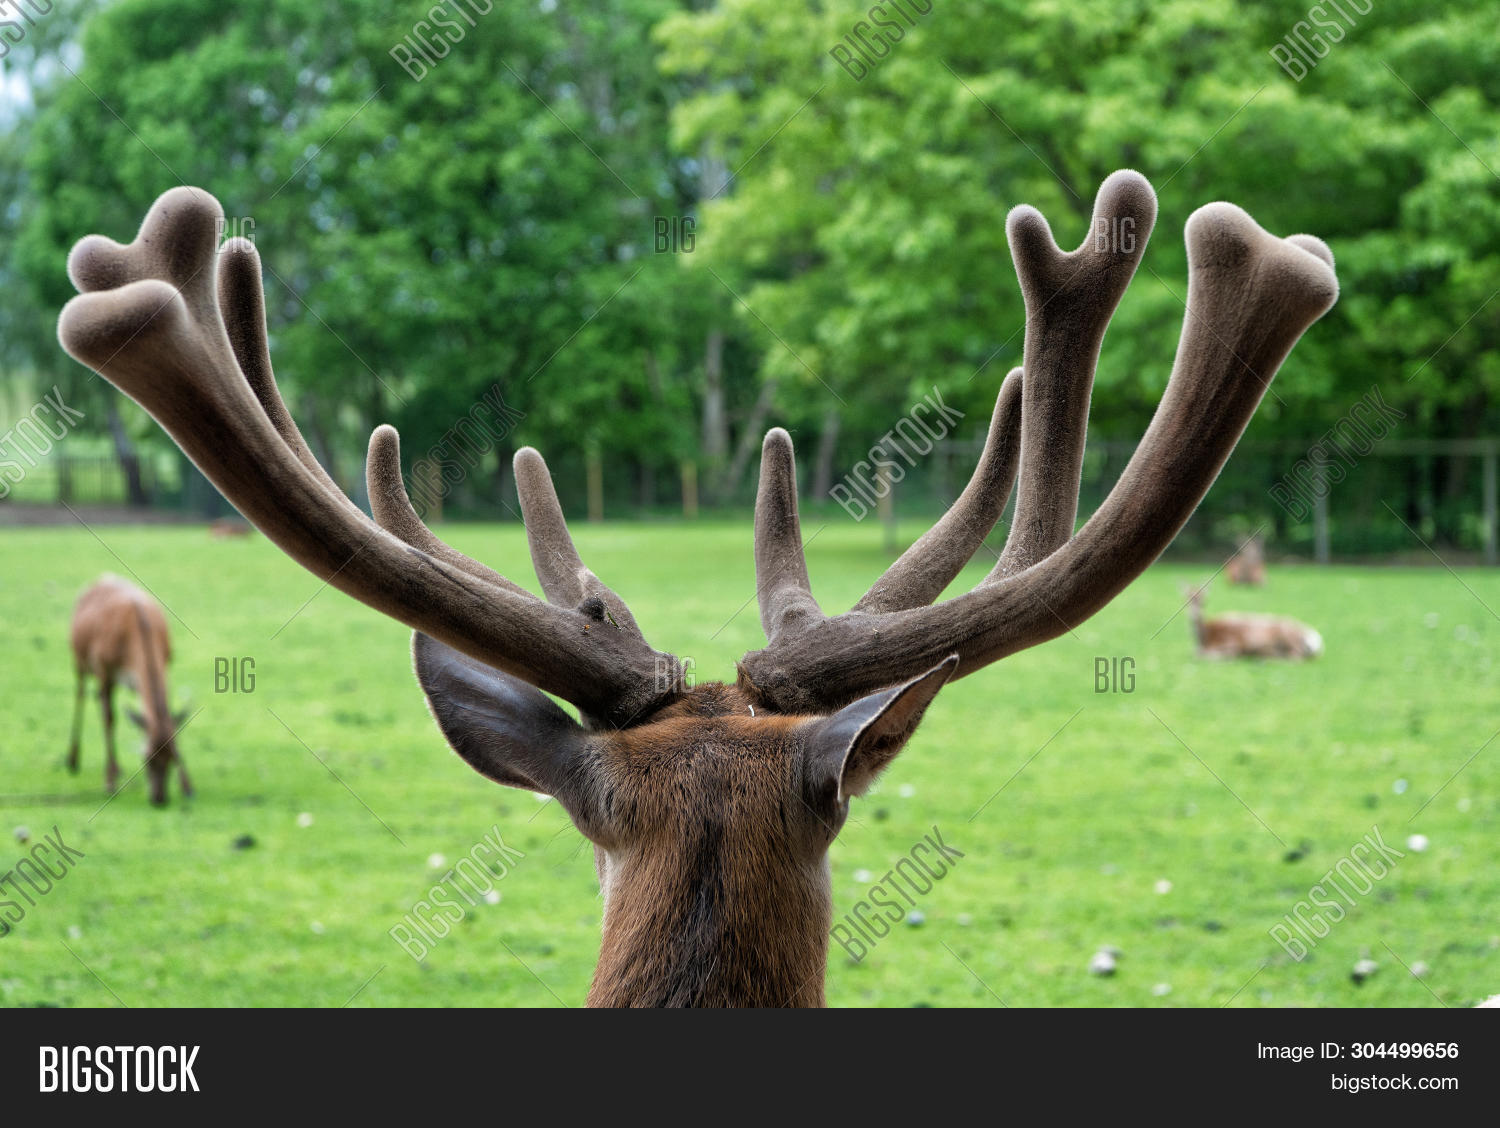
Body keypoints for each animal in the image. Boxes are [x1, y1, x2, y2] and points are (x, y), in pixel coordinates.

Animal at [68, 575, 193, 805]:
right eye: (146, 758)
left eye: (173, 757)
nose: (159, 799)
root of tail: (101, 578)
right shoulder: (104, 668)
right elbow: (109, 720)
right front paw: (109, 783)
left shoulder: (165, 663)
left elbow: (169, 719)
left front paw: (188, 787)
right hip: (79, 659)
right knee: (81, 694)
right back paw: (73, 760)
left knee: (98, 699)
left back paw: (117, 767)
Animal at [1183, 583, 1323, 660]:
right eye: (1186, 600)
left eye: (1204, 601)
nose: (1195, 614)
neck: (1204, 638)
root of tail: (1315, 638)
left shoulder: (1232, 642)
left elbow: (1198, 654)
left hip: (1289, 636)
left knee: (1297, 656)